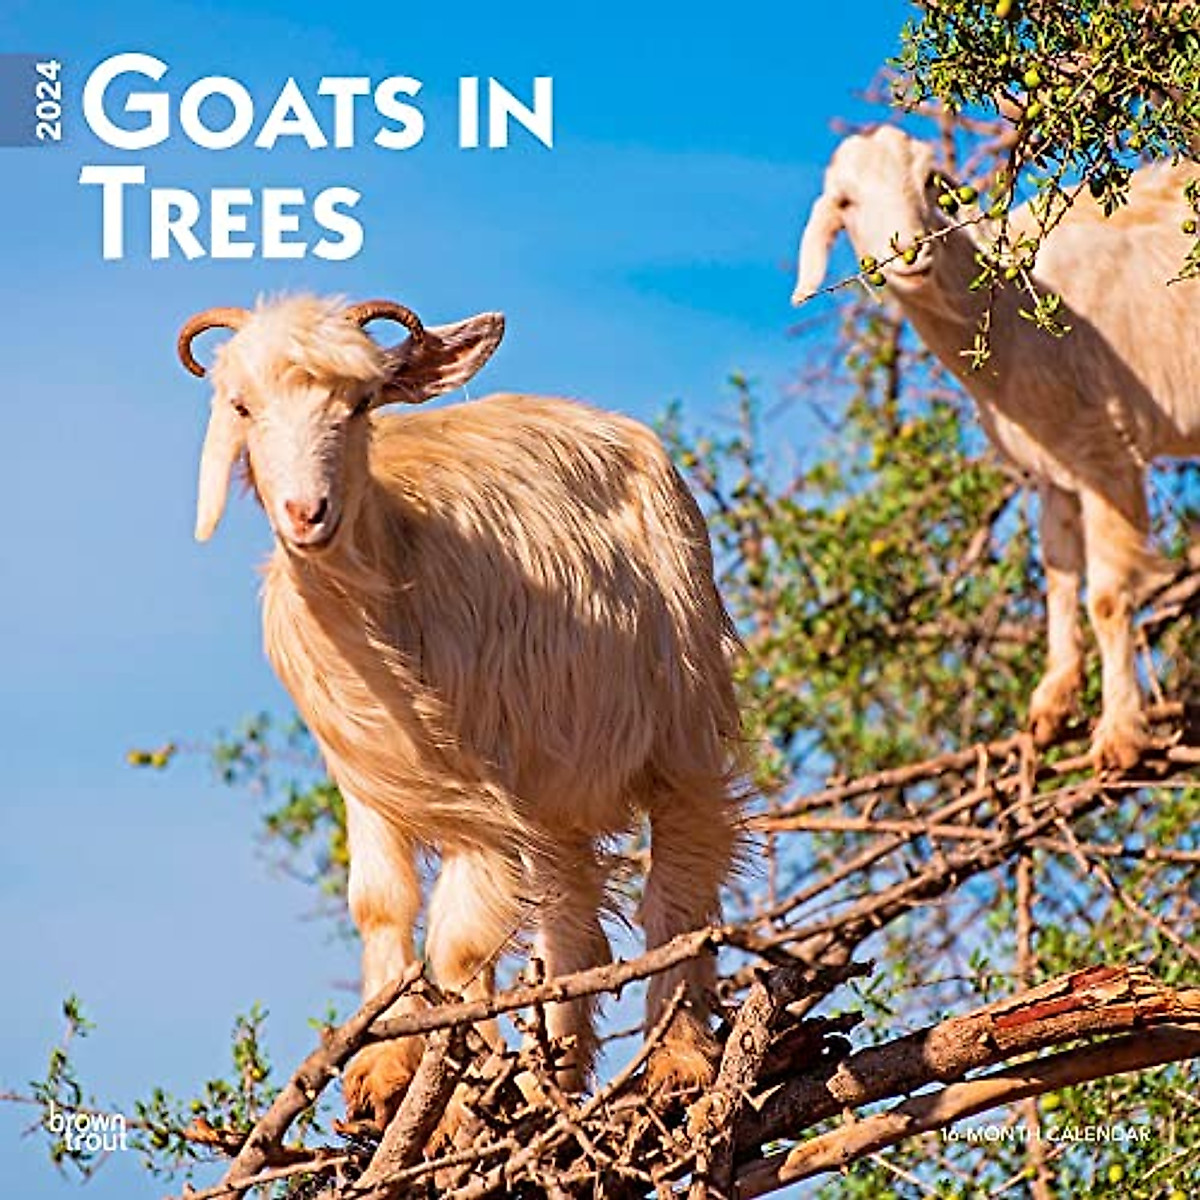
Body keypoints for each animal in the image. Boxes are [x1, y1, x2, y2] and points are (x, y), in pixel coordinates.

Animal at [176, 294, 743, 1128]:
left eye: (361, 402)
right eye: (242, 406)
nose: (307, 513)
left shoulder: (485, 780)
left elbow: (461, 944)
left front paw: (448, 1107)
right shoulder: (369, 773)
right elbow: (380, 905)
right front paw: (382, 1077)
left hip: (682, 713)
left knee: (680, 877)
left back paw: (676, 1060)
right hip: (554, 788)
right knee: (573, 923)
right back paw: (552, 1080)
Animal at [793, 126, 1199, 770]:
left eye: (928, 181)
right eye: (846, 202)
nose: (911, 253)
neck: (1009, 311)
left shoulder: (1106, 452)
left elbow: (1108, 598)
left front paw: (1120, 735)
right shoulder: (1055, 463)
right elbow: (1059, 576)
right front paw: (1051, 707)